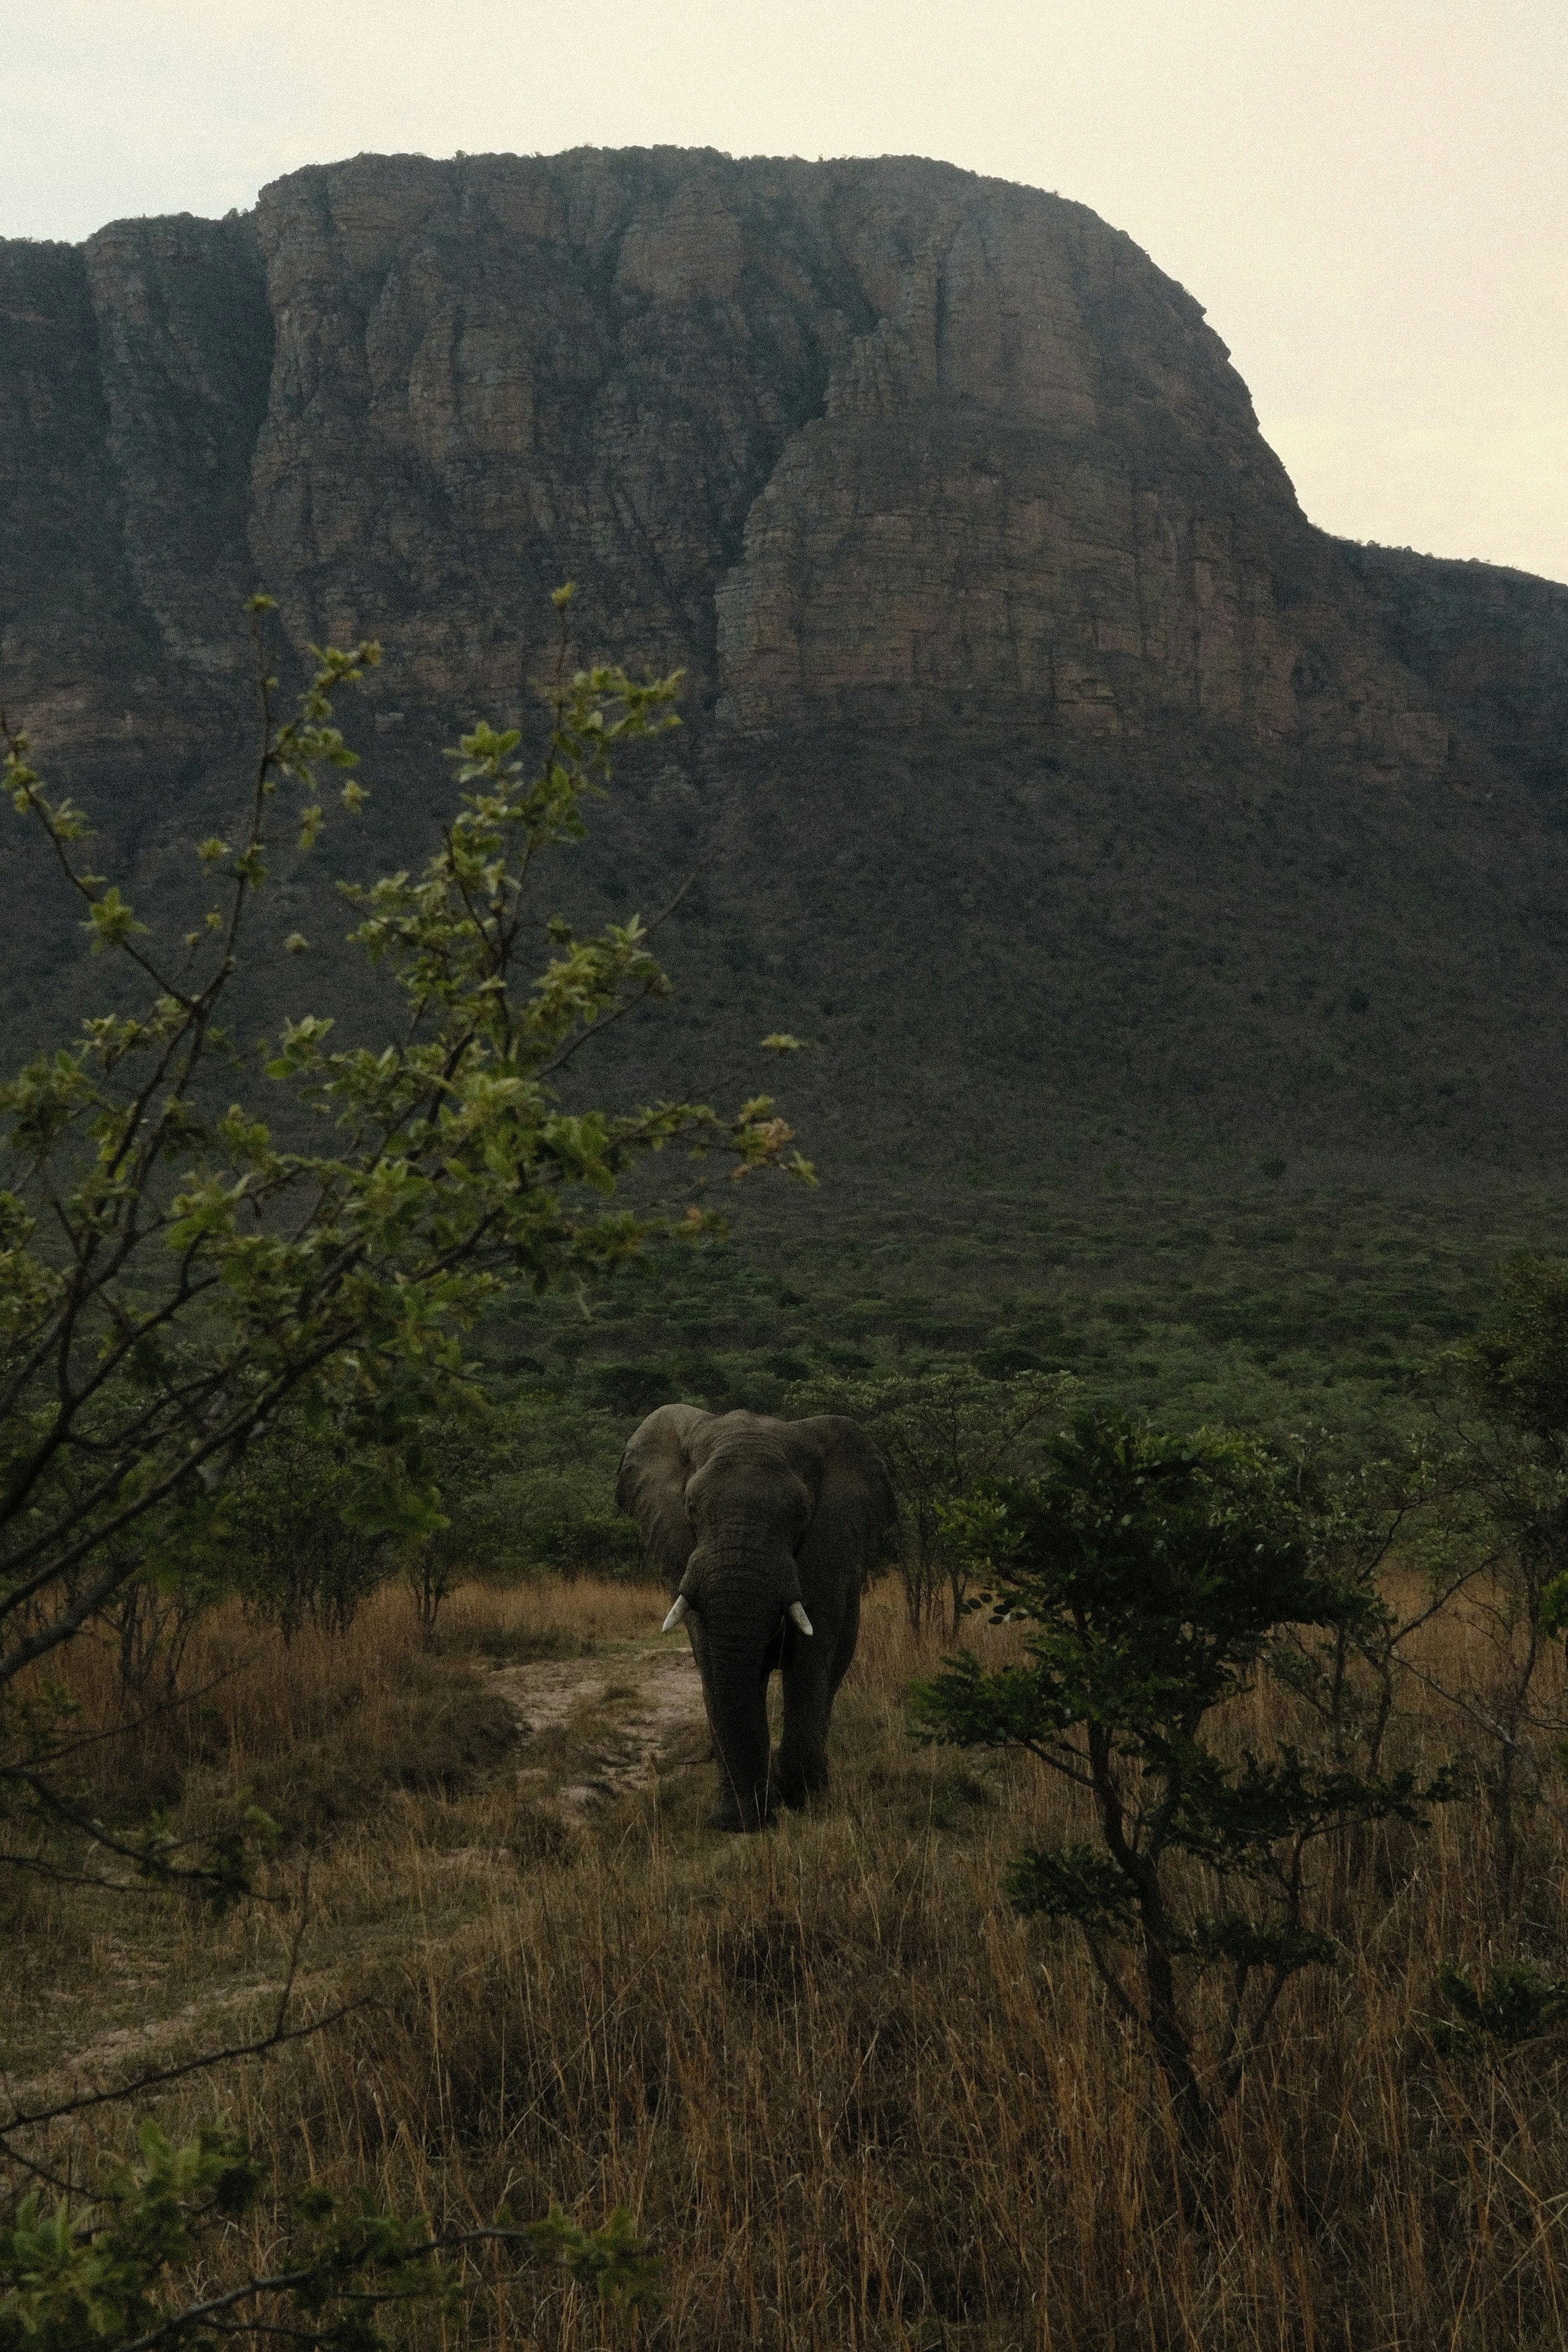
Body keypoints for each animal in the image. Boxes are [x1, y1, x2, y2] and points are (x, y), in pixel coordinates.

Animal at [616, 1404, 896, 1830]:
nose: (740, 1822)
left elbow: (809, 1660)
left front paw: (802, 1802)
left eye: (800, 1514)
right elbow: (713, 1660)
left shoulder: (828, 1551)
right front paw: (739, 1819)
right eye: (691, 1509)